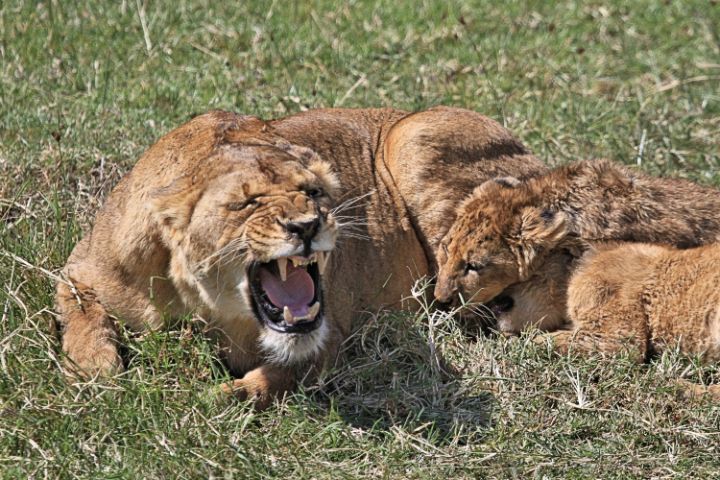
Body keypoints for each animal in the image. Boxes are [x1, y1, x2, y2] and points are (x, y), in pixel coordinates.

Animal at [56, 107, 545, 408]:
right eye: (247, 203)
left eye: (312, 192)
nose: (307, 225)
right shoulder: (81, 269)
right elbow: (82, 315)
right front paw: (98, 371)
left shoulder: (333, 331)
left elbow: (276, 375)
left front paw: (220, 397)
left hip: (417, 137)